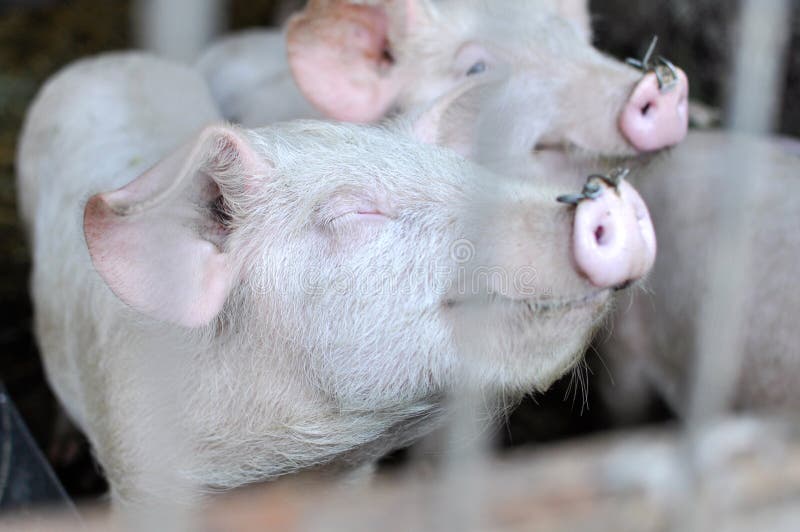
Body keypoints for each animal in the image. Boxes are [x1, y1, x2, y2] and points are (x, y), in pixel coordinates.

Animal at [17, 52, 657, 505]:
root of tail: (108, 58)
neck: (282, 470)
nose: (604, 192)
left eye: (470, 175)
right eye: (354, 213)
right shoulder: (137, 472)